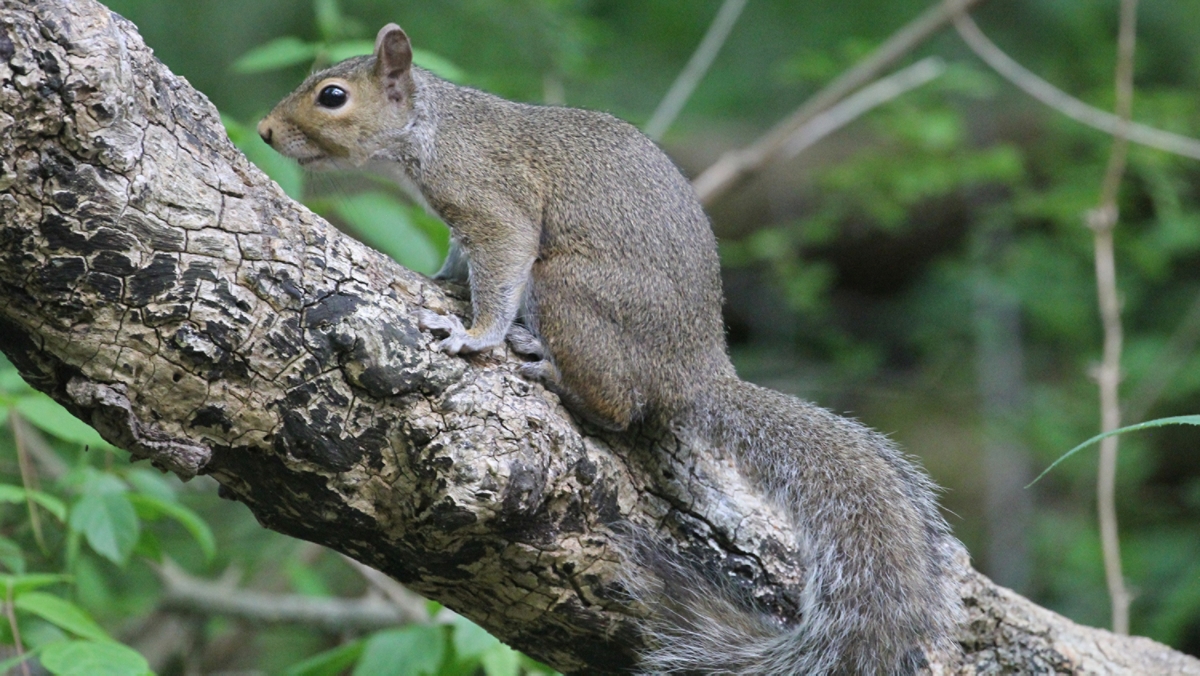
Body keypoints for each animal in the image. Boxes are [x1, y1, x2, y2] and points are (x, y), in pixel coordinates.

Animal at [258, 22, 960, 676]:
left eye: (332, 95)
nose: (264, 130)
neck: (434, 126)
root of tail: (697, 371)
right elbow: (462, 262)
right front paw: (443, 279)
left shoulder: (491, 199)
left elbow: (502, 262)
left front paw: (474, 334)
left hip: (569, 291)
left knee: (619, 406)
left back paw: (550, 370)